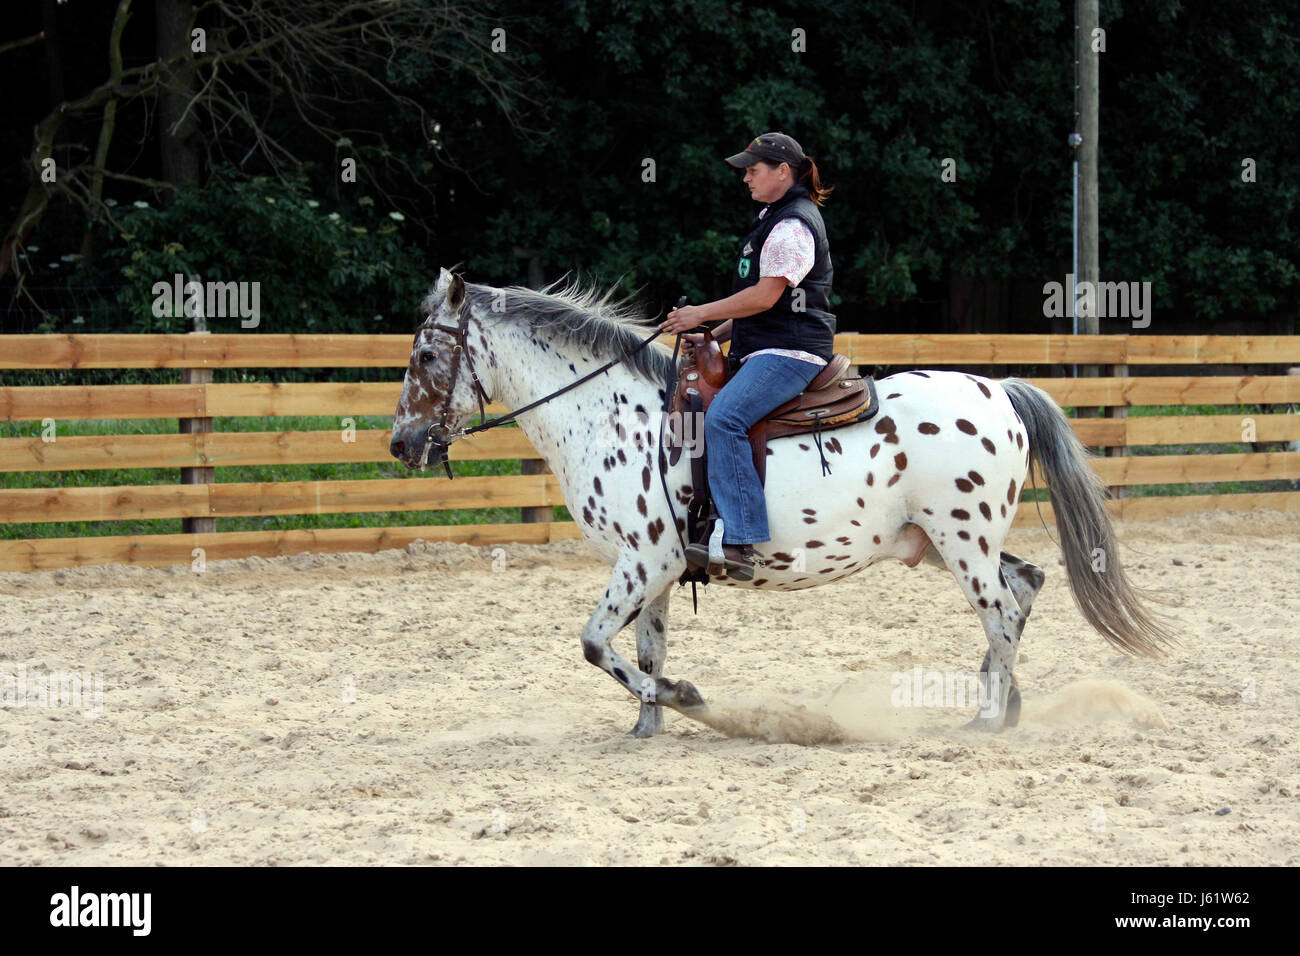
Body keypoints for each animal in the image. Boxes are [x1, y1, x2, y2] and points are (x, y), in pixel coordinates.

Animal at [389, 269, 1174, 738]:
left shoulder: (645, 560)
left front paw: (686, 699)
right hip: (948, 541)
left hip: (963, 542)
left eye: (426, 357)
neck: (614, 413)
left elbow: (595, 643)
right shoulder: (658, 569)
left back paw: (986, 719)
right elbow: (643, 647)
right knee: (1027, 584)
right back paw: (1004, 703)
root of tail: (999, 391)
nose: (401, 443)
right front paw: (648, 723)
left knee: (1003, 614)